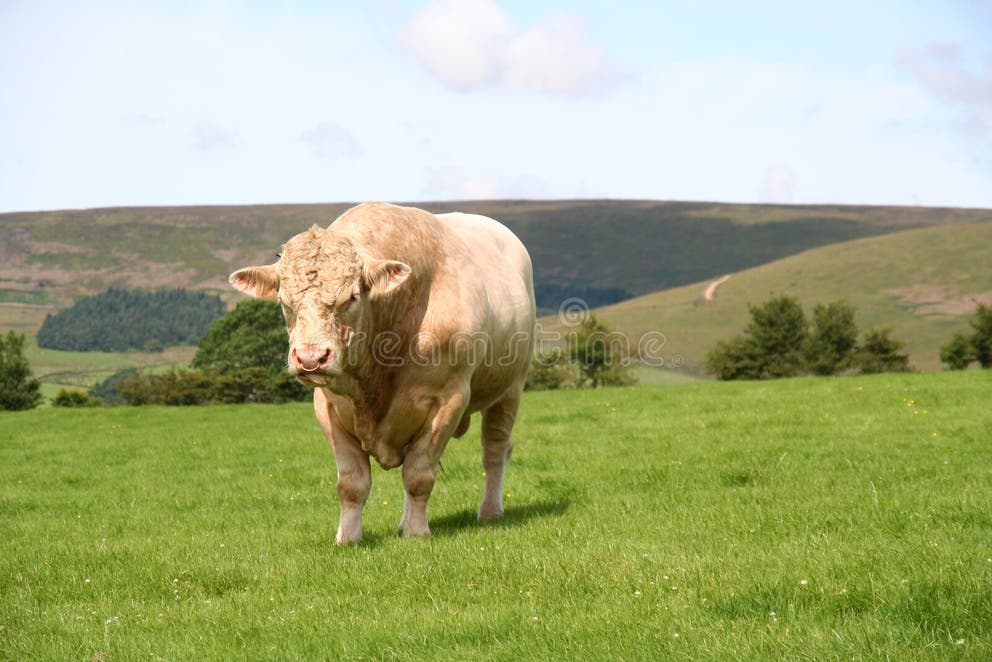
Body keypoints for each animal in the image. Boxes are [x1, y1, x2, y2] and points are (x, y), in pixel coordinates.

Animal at [229, 202, 535, 543]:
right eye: (284, 301)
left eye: (352, 297)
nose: (311, 357)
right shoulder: (328, 405)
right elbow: (352, 483)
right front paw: (347, 538)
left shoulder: (449, 400)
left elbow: (418, 474)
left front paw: (417, 533)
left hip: (510, 388)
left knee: (495, 450)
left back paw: (490, 512)